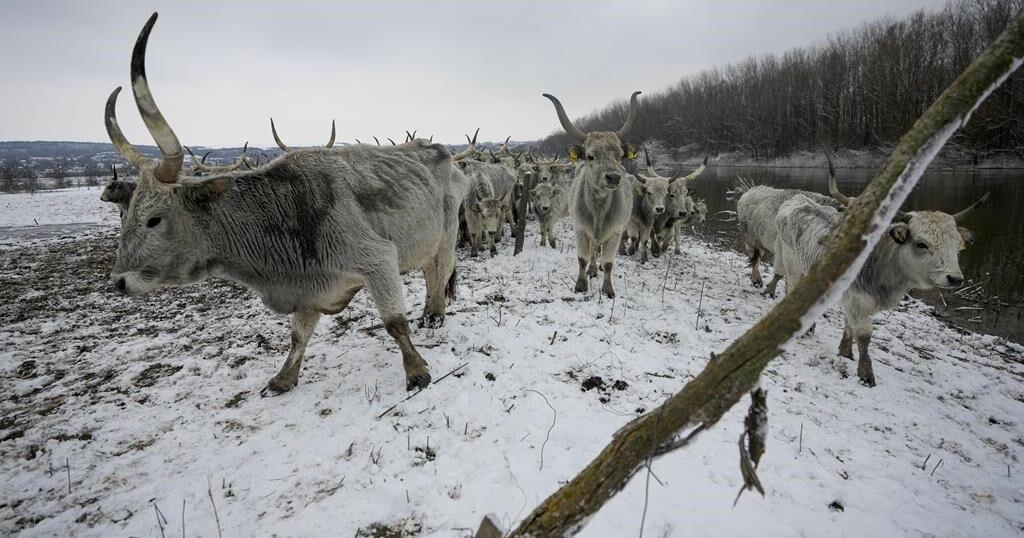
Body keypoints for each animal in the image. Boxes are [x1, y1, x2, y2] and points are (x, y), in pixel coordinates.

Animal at [104, 13, 469, 394]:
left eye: (154, 219)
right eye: (129, 212)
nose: (118, 281)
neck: (287, 210)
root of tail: (442, 152)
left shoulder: (378, 260)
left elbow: (394, 322)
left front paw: (416, 371)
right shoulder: (310, 288)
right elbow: (298, 336)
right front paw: (283, 378)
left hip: (447, 235)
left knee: (441, 270)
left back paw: (435, 315)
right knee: (430, 271)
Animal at [542, 91, 640, 298]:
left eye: (620, 155)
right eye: (590, 156)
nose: (613, 177)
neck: (599, 209)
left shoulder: (616, 231)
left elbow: (609, 262)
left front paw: (608, 289)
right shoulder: (580, 228)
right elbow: (583, 258)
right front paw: (581, 284)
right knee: (594, 249)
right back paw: (593, 269)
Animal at [772, 182, 988, 386]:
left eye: (957, 246)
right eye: (921, 244)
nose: (955, 279)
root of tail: (798, 200)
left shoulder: (854, 301)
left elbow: (849, 326)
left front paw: (845, 352)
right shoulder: (855, 300)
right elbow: (864, 334)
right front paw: (866, 374)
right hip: (793, 266)